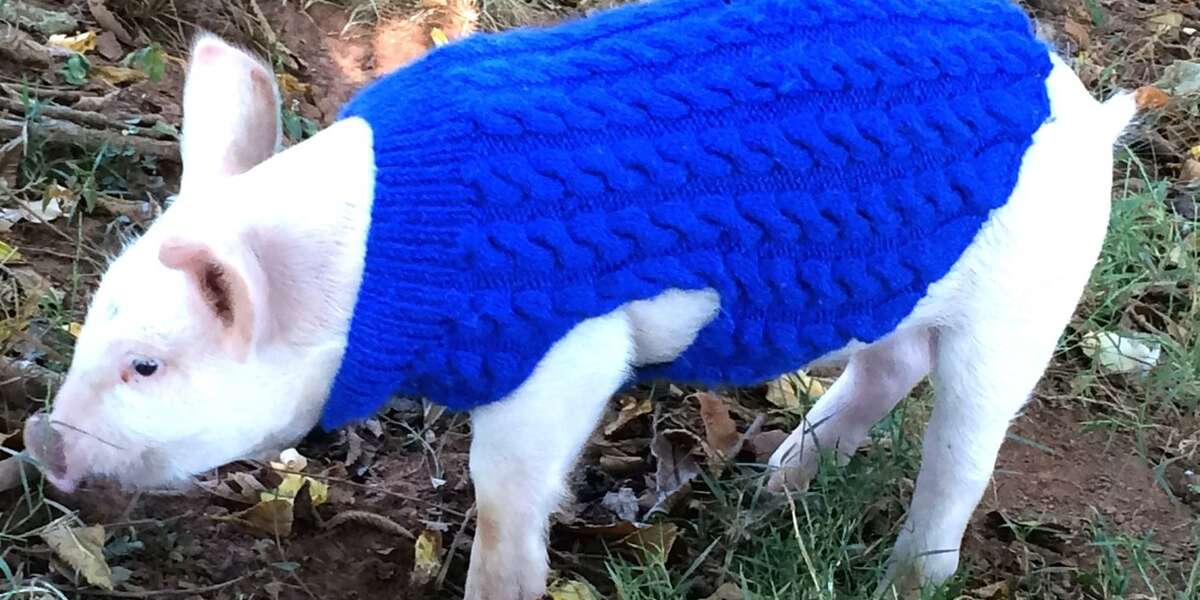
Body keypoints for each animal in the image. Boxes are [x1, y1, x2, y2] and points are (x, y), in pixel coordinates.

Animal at [24, 0, 1138, 598]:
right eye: (91, 328)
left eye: (148, 364)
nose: (39, 440)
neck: (383, 263)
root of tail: (1084, 106)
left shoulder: (569, 353)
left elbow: (507, 490)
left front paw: (502, 581)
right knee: (890, 361)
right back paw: (767, 488)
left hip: (1023, 306)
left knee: (965, 443)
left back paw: (903, 575)